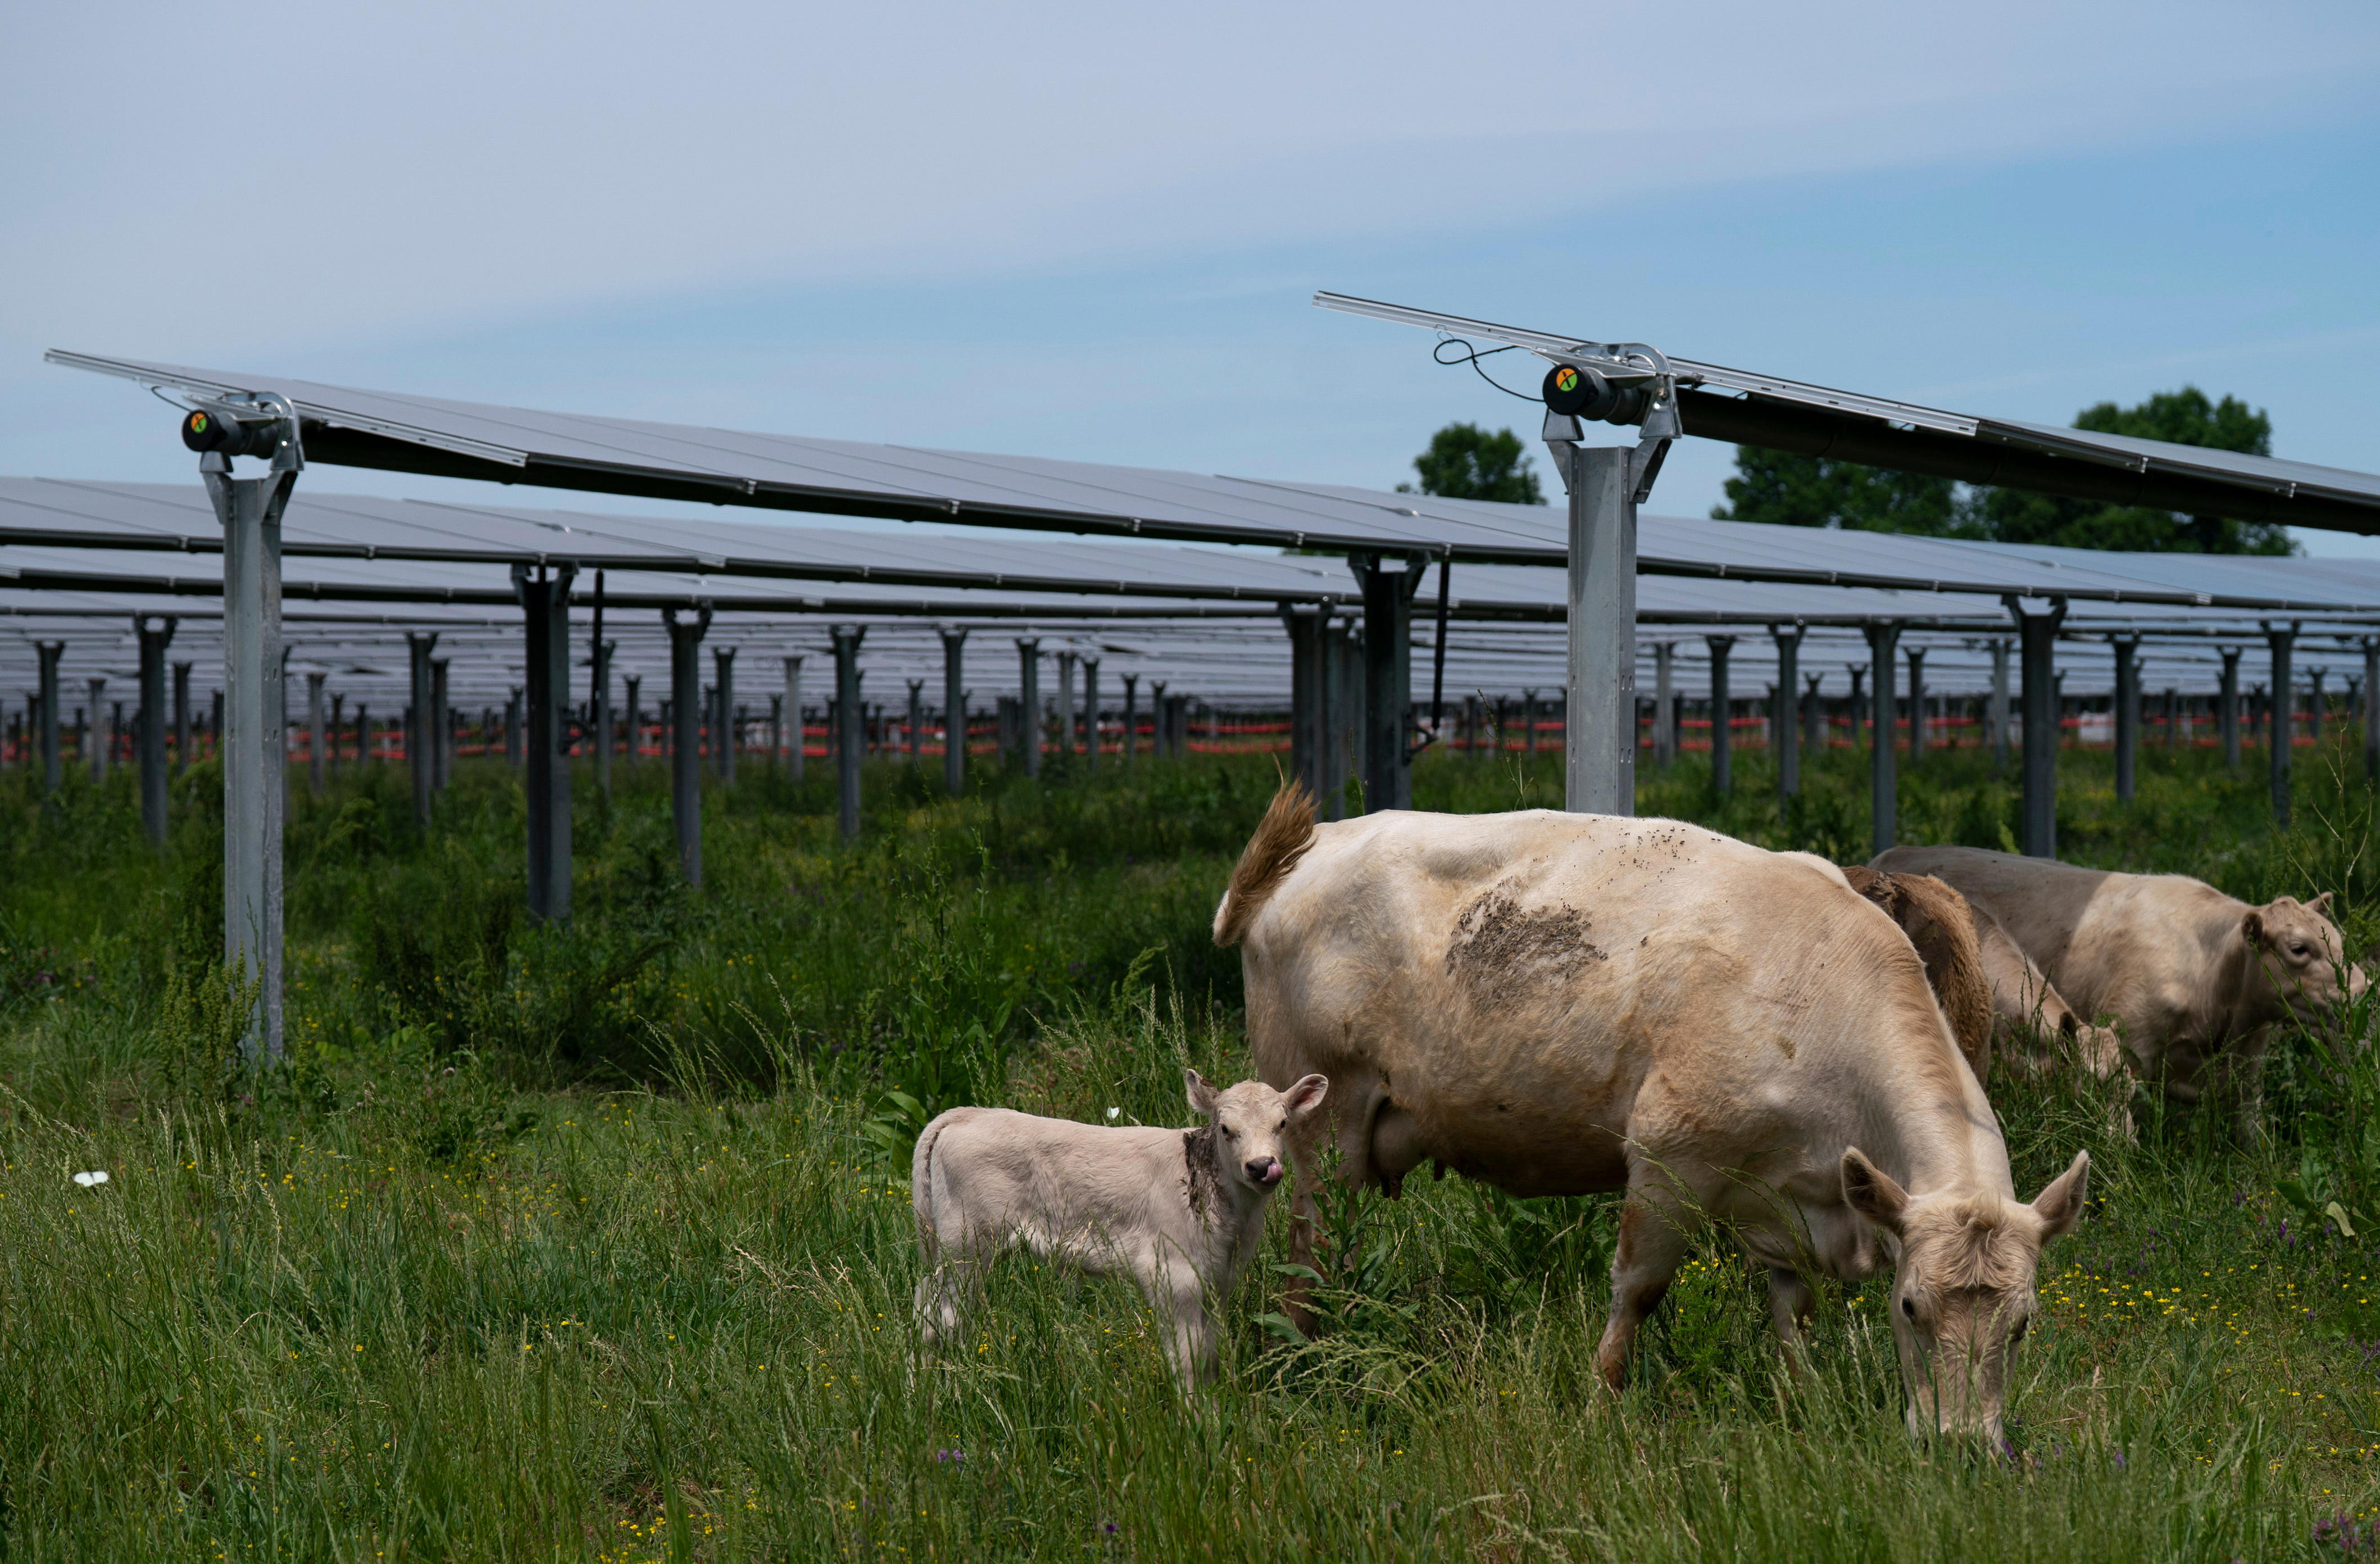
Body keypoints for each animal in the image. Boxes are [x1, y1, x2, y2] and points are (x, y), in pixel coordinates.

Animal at [911, 1069, 1329, 1390]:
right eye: (1226, 1128)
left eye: (1282, 1124)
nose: (1262, 1167)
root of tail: (967, 1114)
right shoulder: (1174, 1277)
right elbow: (1188, 1360)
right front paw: (1196, 1428)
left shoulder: (1217, 1282)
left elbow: (1210, 1355)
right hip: (966, 1245)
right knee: (940, 1319)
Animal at [1216, 785, 2090, 1438]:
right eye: (1911, 1307)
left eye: (2023, 1323)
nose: (1964, 1446)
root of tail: (1313, 845)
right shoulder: (1671, 1160)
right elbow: (1637, 1290)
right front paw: (1603, 1404)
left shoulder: (1790, 1197)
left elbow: (1794, 1315)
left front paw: (1804, 1399)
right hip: (1317, 1127)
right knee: (1305, 1250)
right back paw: (1304, 1355)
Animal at [1873, 845, 2366, 1139]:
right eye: (2299, 948)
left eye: (2339, 941)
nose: (2361, 986)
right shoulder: (2133, 1045)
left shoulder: (2250, 1062)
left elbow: (2252, 1131)